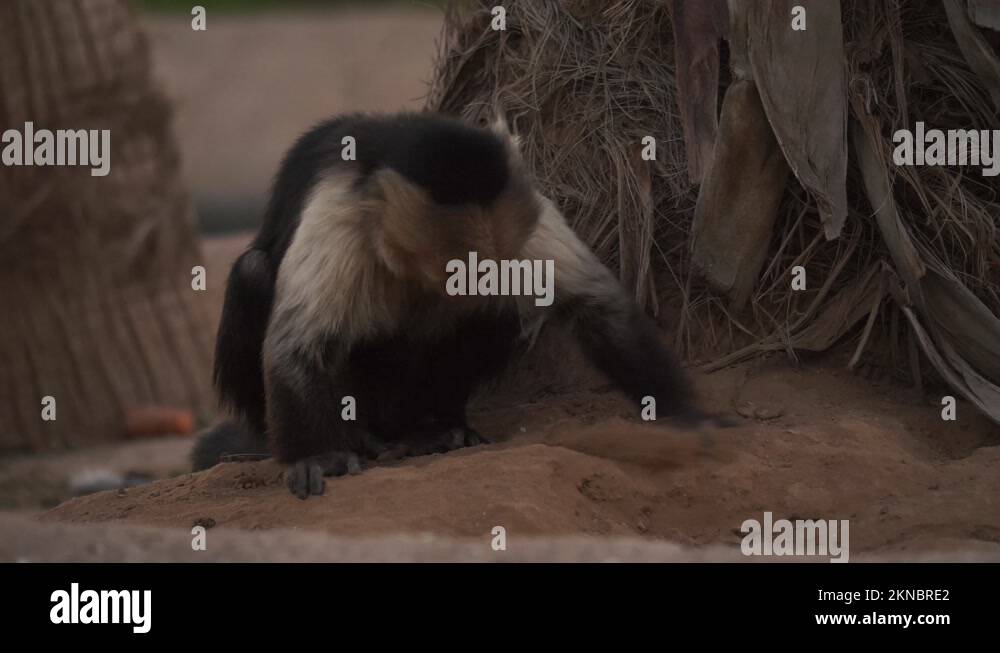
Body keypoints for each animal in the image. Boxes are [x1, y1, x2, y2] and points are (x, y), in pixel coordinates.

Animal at [192, 112, 719, 499]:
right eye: (458, 268)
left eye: (485, 268)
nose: (480, 283)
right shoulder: (342, 208)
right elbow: (298, 345)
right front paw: (315, 456)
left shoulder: (524, 210)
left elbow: (596, 305)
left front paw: (688, 416)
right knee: (252, 272)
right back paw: (354, 437)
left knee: (503, 311)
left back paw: (437, 429)